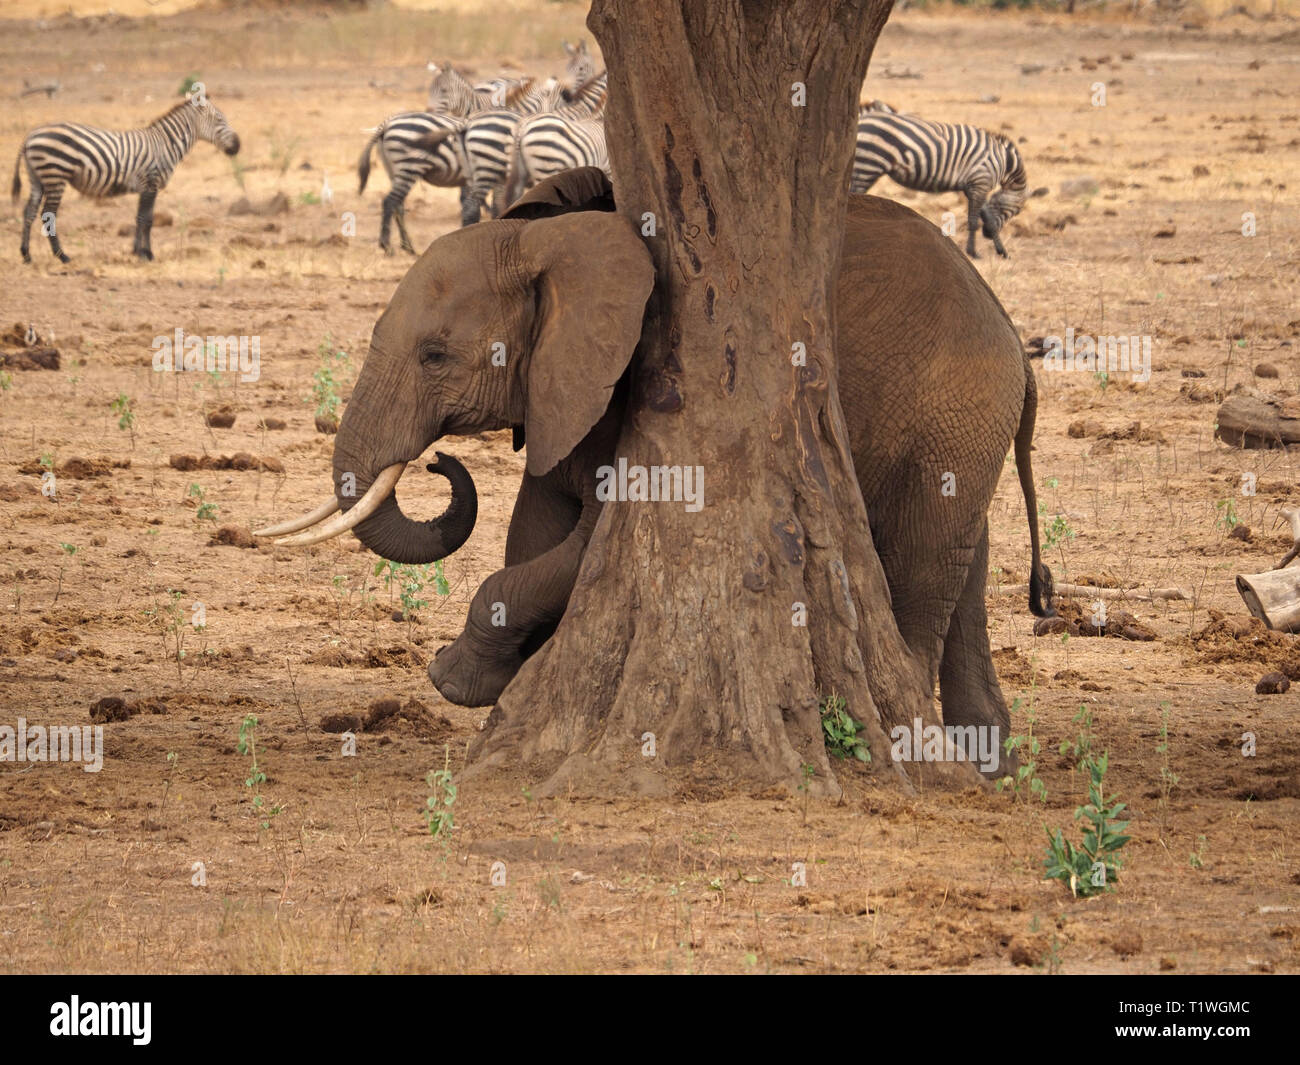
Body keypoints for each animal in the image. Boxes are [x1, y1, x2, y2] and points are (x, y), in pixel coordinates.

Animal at [257, 167, 1052, 763]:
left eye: (434, 356)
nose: (438, 464)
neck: (547, 243)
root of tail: (1015, 339)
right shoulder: (561, 386)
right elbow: (533, 528)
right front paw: (502, 697)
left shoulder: (643, 382)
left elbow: (578, 546)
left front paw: (455, 680)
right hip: (960, 430)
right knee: (965, 561)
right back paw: (985, 757)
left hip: (952, 414)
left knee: (923, 564)